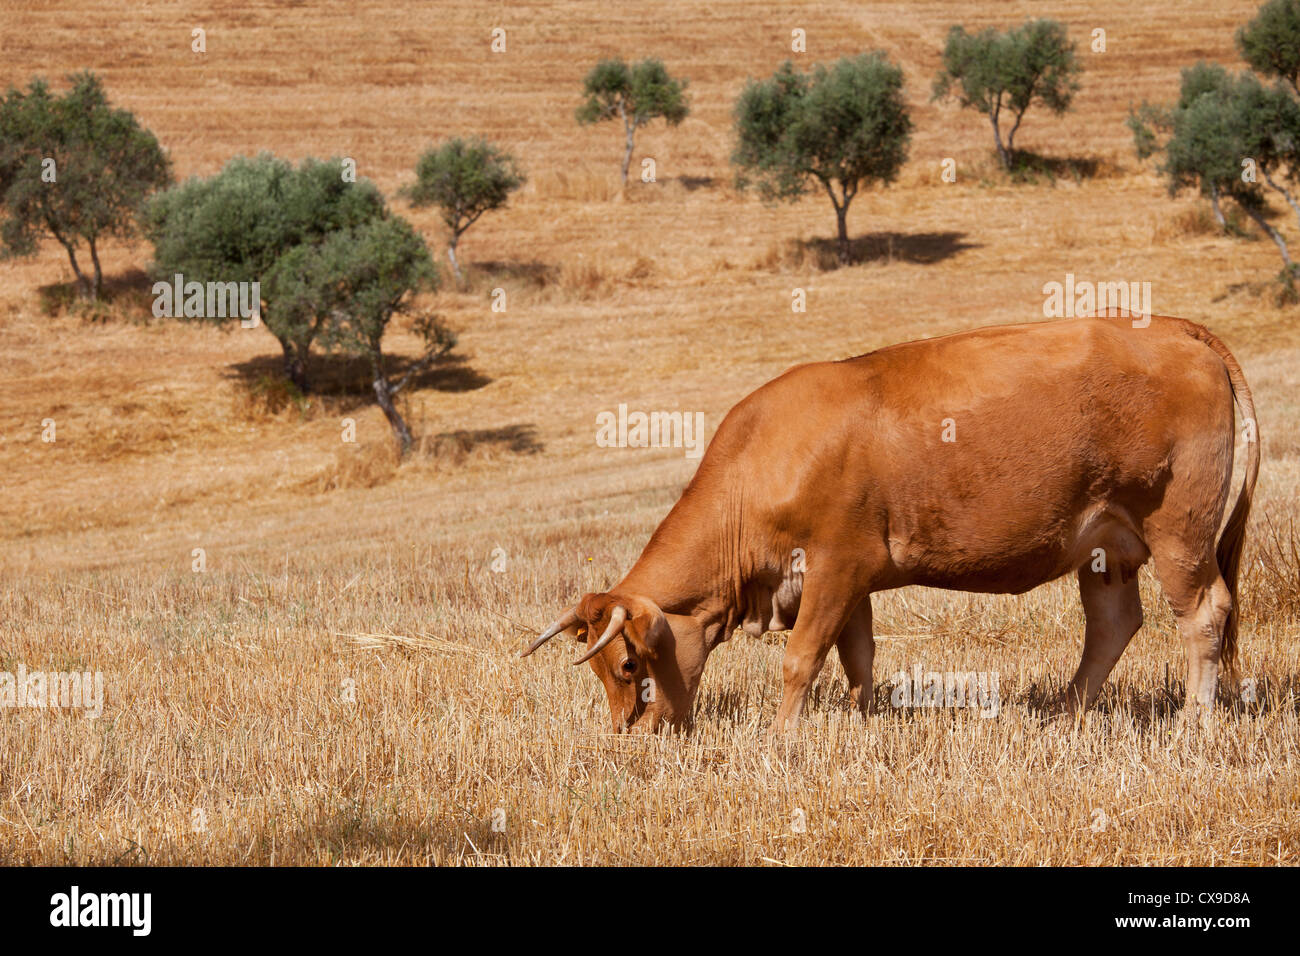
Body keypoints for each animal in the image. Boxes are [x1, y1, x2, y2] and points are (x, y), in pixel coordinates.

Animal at [521, 315, 1260, 735]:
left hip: (1179, 529)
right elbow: (858, 658)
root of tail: (1169, 327)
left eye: (627, 663)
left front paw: (781, 739)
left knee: (1204, 614)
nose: (631, 733)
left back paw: (1194, 721)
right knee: (1112, 626)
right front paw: (862, 721)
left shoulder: (834, 565)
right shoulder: (851, 583)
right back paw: (1064, 713)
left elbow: (801, 658)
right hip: (1106, 544)